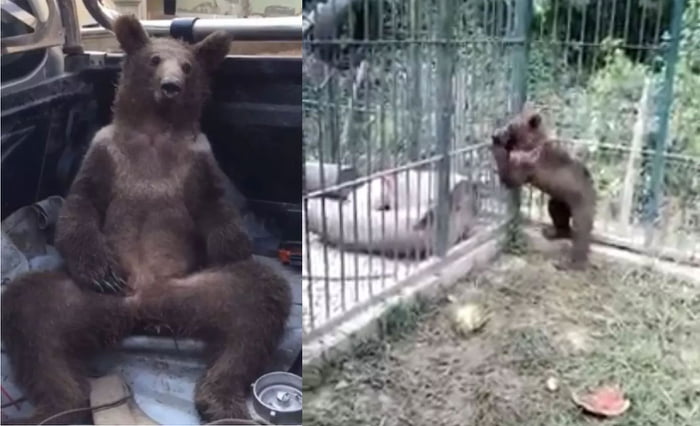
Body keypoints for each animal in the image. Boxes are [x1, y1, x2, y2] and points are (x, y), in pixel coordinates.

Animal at [1, 15, 291, 424]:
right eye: (154, 59)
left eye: (187, 66)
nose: (171, 86)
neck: (155, 131)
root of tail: (142, 309)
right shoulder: (104, 152)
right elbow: (81, 207)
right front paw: (101, 270)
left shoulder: (197, 161)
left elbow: (216, 210)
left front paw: (229, 250)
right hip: (84, 302)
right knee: (32, 315)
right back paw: (58, 407)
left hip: (198, 294)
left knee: (256, 305)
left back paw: (221, 400)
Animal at [490, 109, 596, 270]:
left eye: (510, 125)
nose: (498, 132)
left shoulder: (530, 162)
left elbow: (512, 177)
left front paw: (497, 145)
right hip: (561, 200)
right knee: (556, 211)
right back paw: (553, 232)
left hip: (582, 203)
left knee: (581, 230)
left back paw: (570, 262)